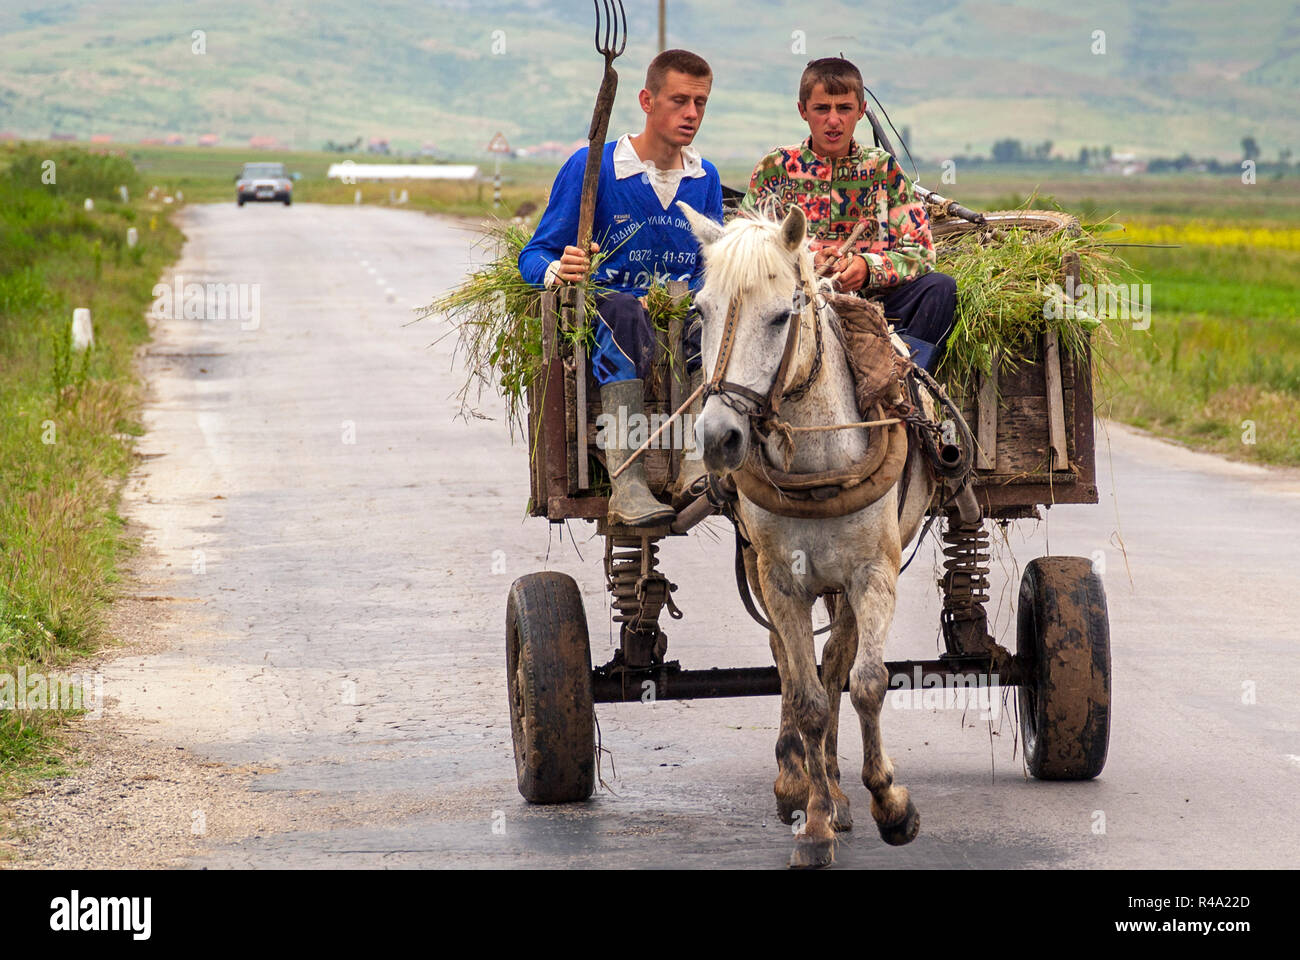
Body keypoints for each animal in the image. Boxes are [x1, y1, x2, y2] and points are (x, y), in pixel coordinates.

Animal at [678, 200, 937, 869]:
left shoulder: (873, 573)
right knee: (793, 667)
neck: (820, 463)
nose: (719, 439)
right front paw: (816, 823)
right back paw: (798, 780)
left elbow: (864, 682)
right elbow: (809, 699)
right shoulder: (781, 580)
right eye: (701, 311)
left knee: (838, 658)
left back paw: (843, 788)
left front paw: (890, 804)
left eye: (779, 316)